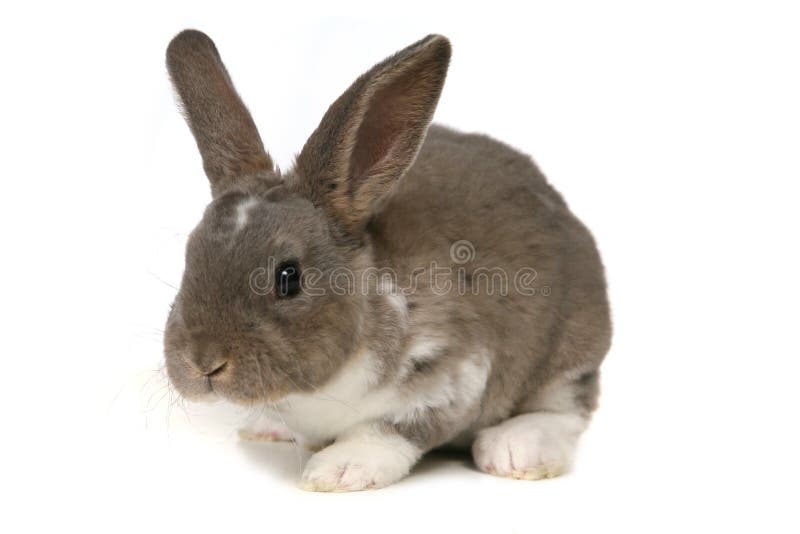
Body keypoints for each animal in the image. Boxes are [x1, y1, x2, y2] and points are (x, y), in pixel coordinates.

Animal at [163, 29, 611, 492]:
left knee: (566, 408)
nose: (203, 363)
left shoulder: (452, 375)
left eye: (289, 277)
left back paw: (515, 449)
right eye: (190, 256)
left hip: (571, 346)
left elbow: (389, 430)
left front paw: (339, 469)